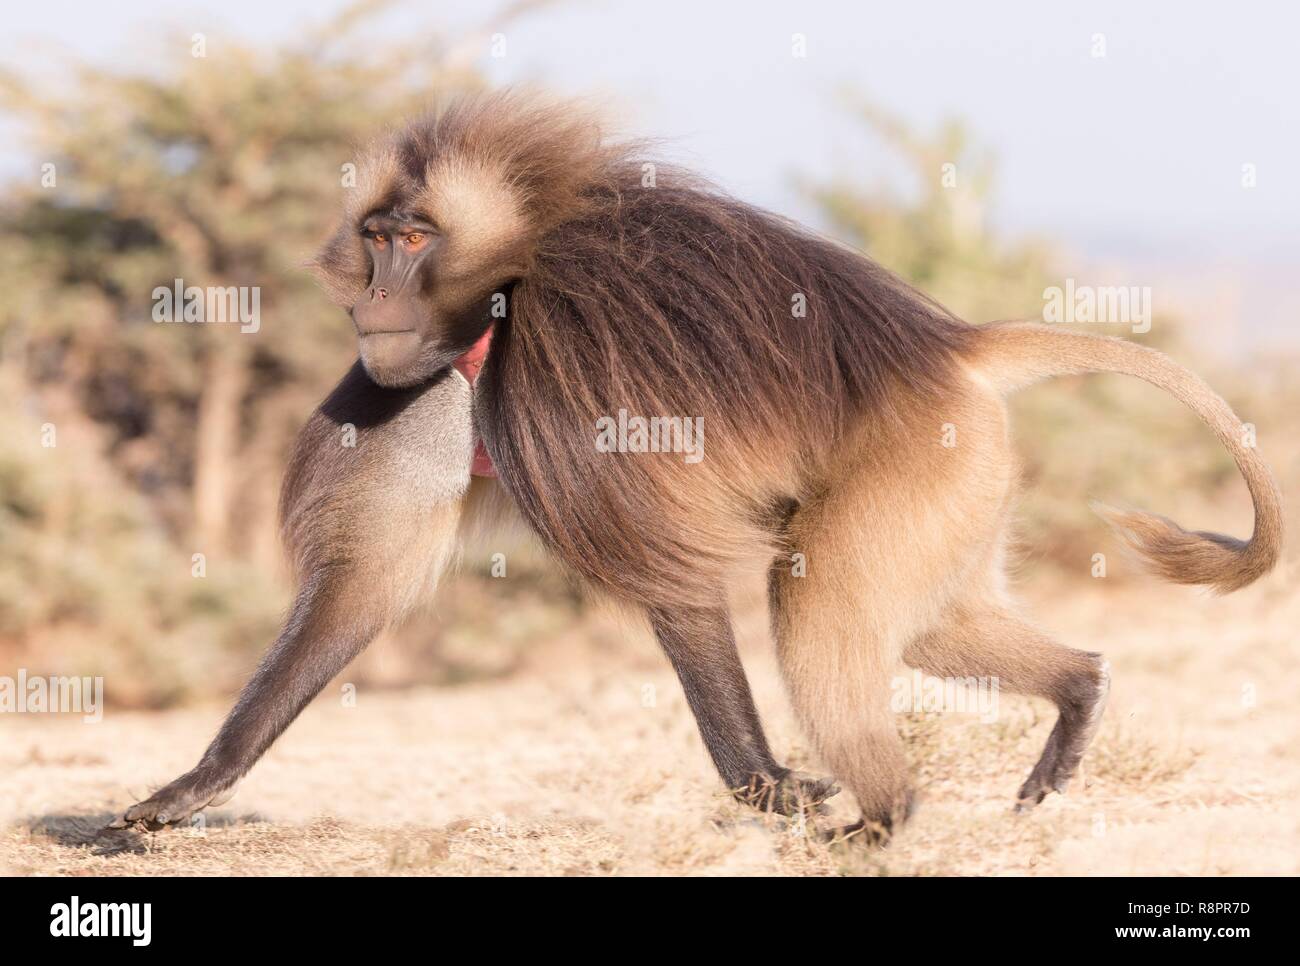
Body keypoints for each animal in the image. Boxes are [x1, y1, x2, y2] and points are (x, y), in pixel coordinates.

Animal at [114, 91, 1282, 841]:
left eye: (413, 240)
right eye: (375, 234)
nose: (373, 304)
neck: (509, 280)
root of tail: (949, 349)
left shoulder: (551, 384)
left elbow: (674, 587)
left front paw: (769, 790)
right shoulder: (430, 386)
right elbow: (359, 590)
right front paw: (197, 782)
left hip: (915, 467)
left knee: (817, 611)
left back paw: (886, 820)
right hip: (962, 482)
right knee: (935, 626)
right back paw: (1072, 703)